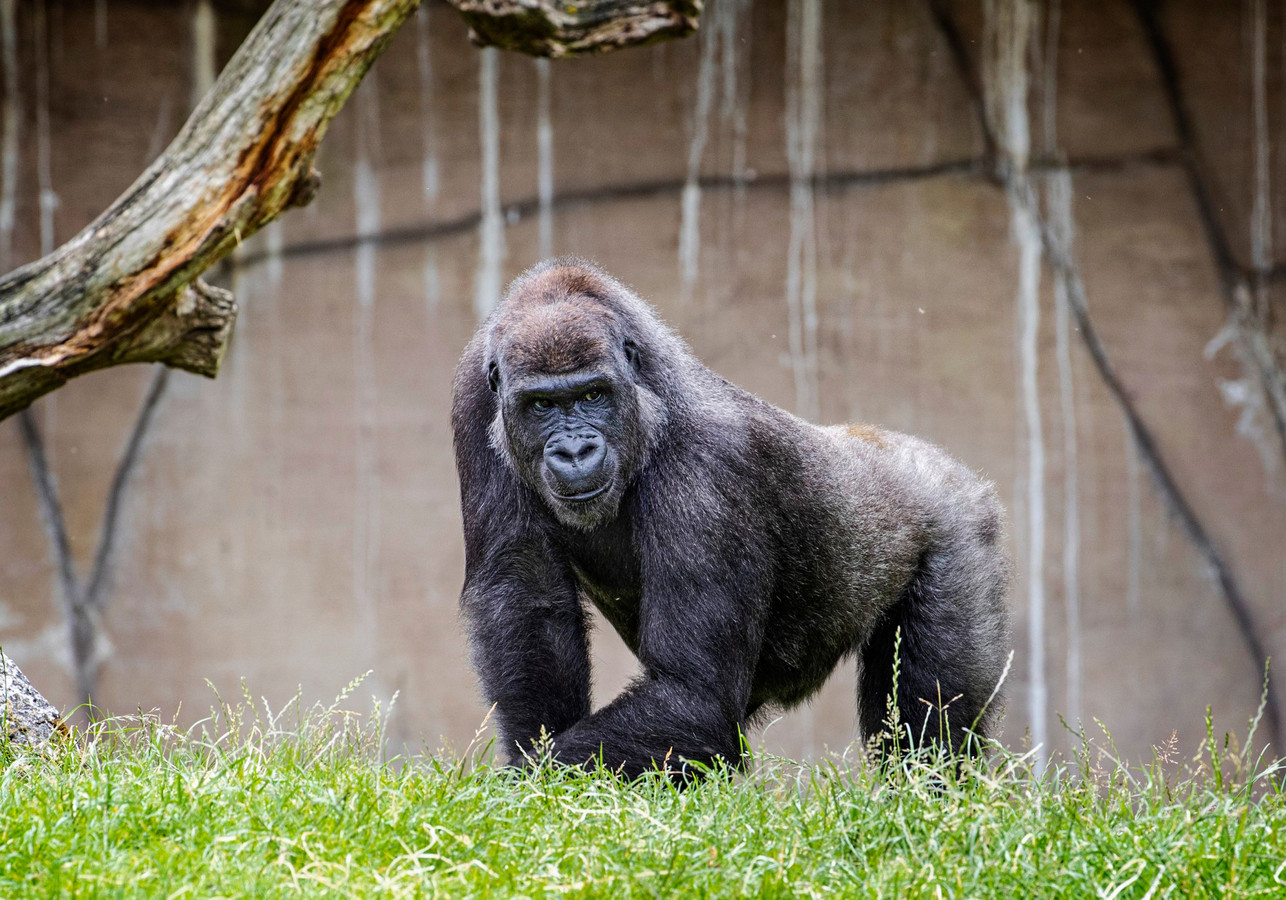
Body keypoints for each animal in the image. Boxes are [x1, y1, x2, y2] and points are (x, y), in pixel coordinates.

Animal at [451, 258, 1011, 778]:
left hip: (961, 530)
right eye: (542, 405)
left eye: (592, 395)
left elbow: (695, 696)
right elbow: (525, 599)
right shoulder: (473, 397)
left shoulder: (712, 461)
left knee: (929, 736)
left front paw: (520, 789)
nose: (573, 450)